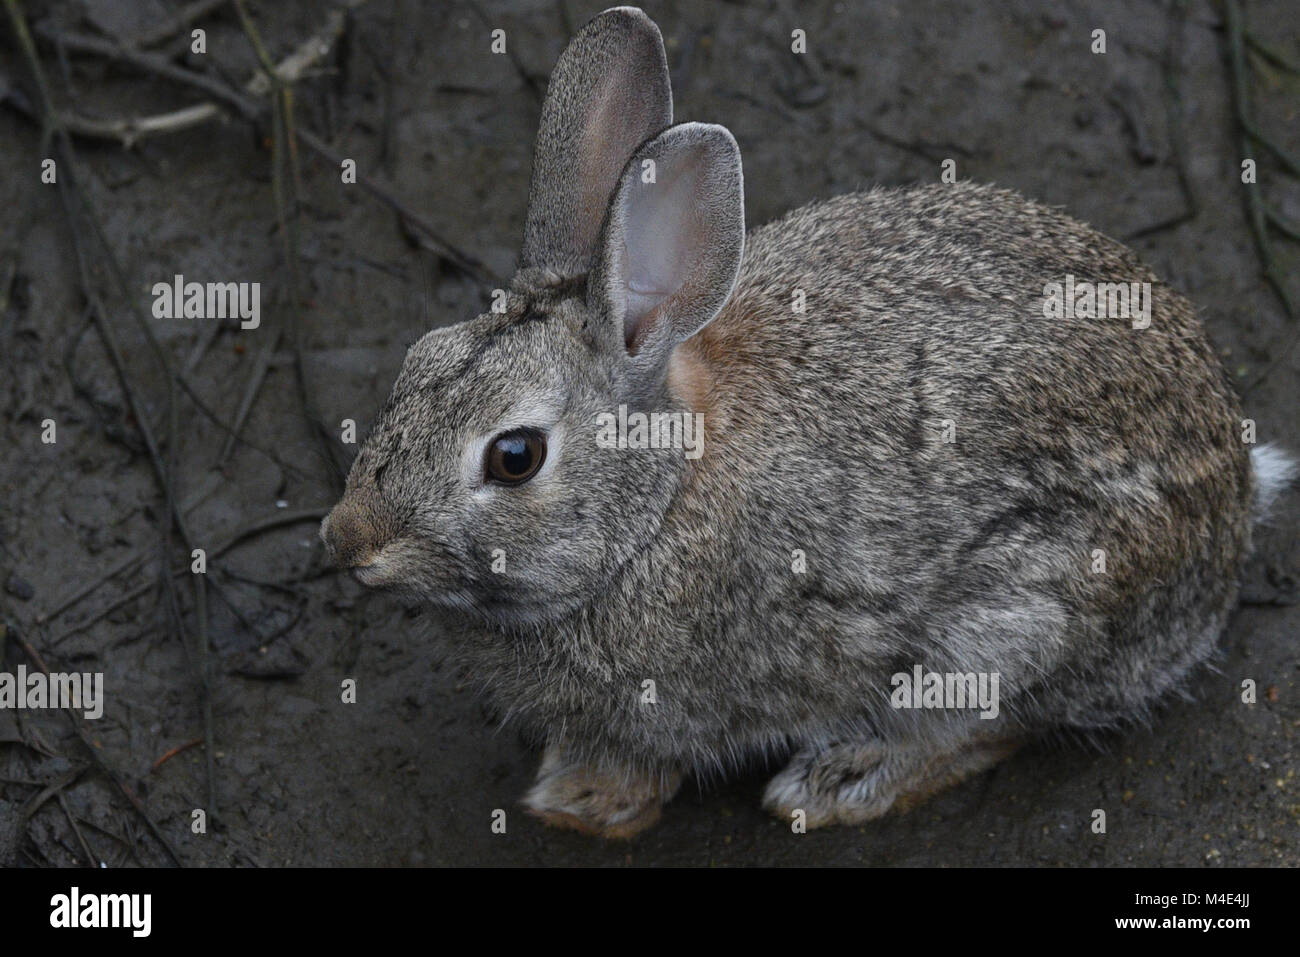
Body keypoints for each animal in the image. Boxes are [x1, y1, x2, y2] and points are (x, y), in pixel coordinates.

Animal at [320, 6, 1296, 838]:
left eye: (515, 456)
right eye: (418, 357)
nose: (347, 539)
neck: (664, 496)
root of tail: (1235, 503)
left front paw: (585, 802)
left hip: (1026, 614)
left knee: (987, 725)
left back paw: (837, 781)